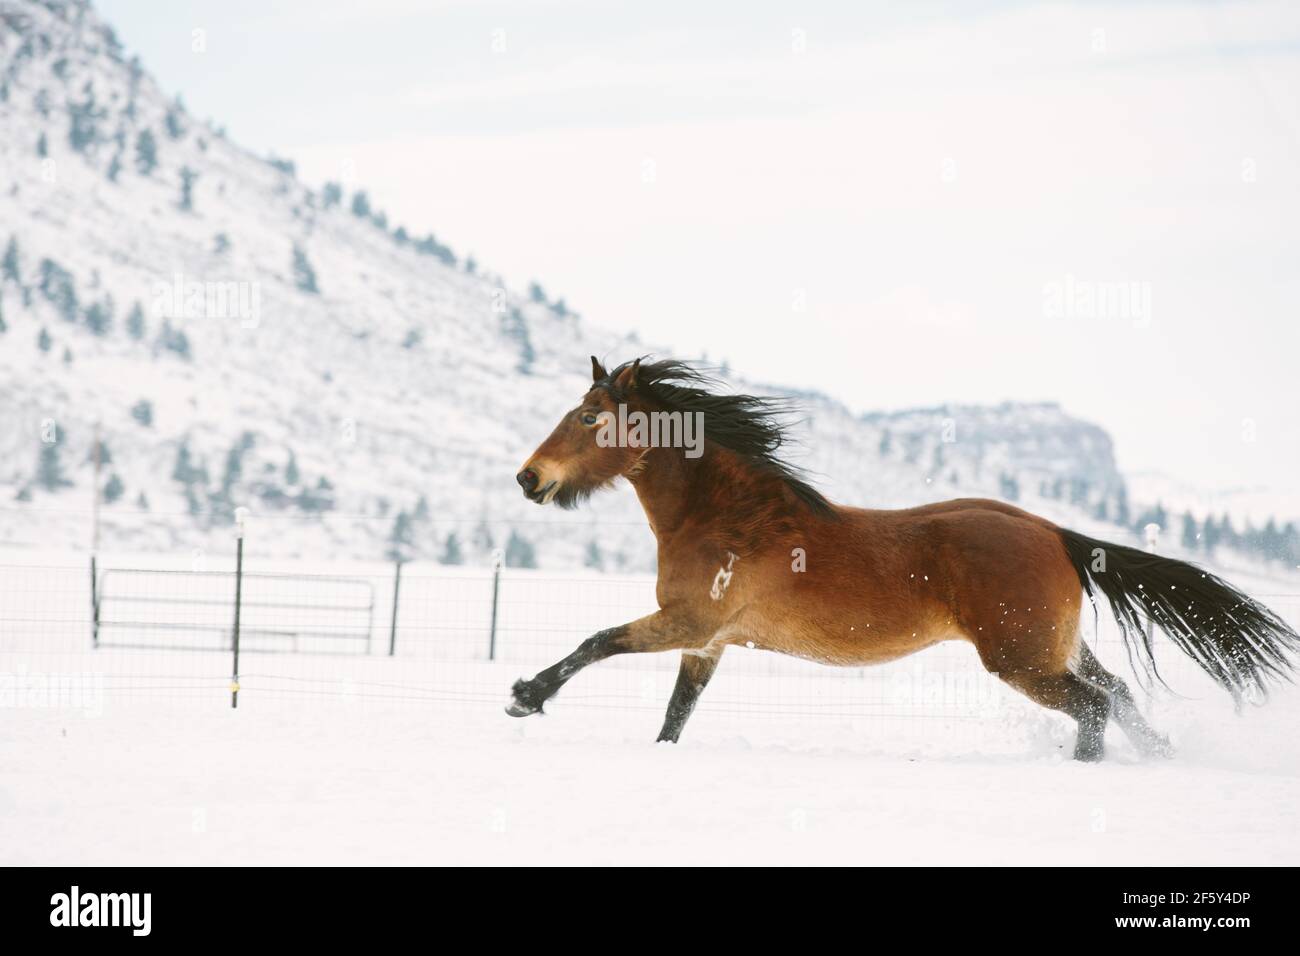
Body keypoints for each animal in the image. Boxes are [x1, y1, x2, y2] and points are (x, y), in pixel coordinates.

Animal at [507, 357, 1300, 760]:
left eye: (588, 417)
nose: (528, 479)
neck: (728, 518)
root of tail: (1057, 534)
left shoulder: (688, 622)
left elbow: (596, 643)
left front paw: (525, 696)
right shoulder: (708, 642)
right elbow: (676, 715)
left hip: (1021, 659)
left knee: (1097, 706)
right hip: (1054, 647)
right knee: (1121, 696)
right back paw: (1163, 754)